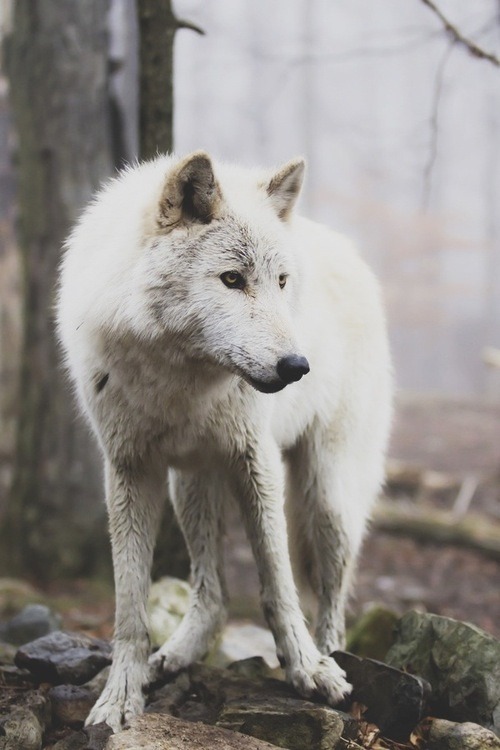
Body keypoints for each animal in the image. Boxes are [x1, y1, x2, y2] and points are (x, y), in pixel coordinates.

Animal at [57, 151, 392, 732]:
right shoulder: (129, 469)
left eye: (281, 282)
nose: (297, 366)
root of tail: (347, 250)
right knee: (212, 596)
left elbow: (279, 584)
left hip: (326, 495)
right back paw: (176, 655)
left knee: (333, 591)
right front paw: (120, 699)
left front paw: (308, 670)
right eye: (232, 279)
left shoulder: (255, 459)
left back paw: (331, 655)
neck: (182, 379)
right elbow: (129, 608)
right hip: (190, 484)